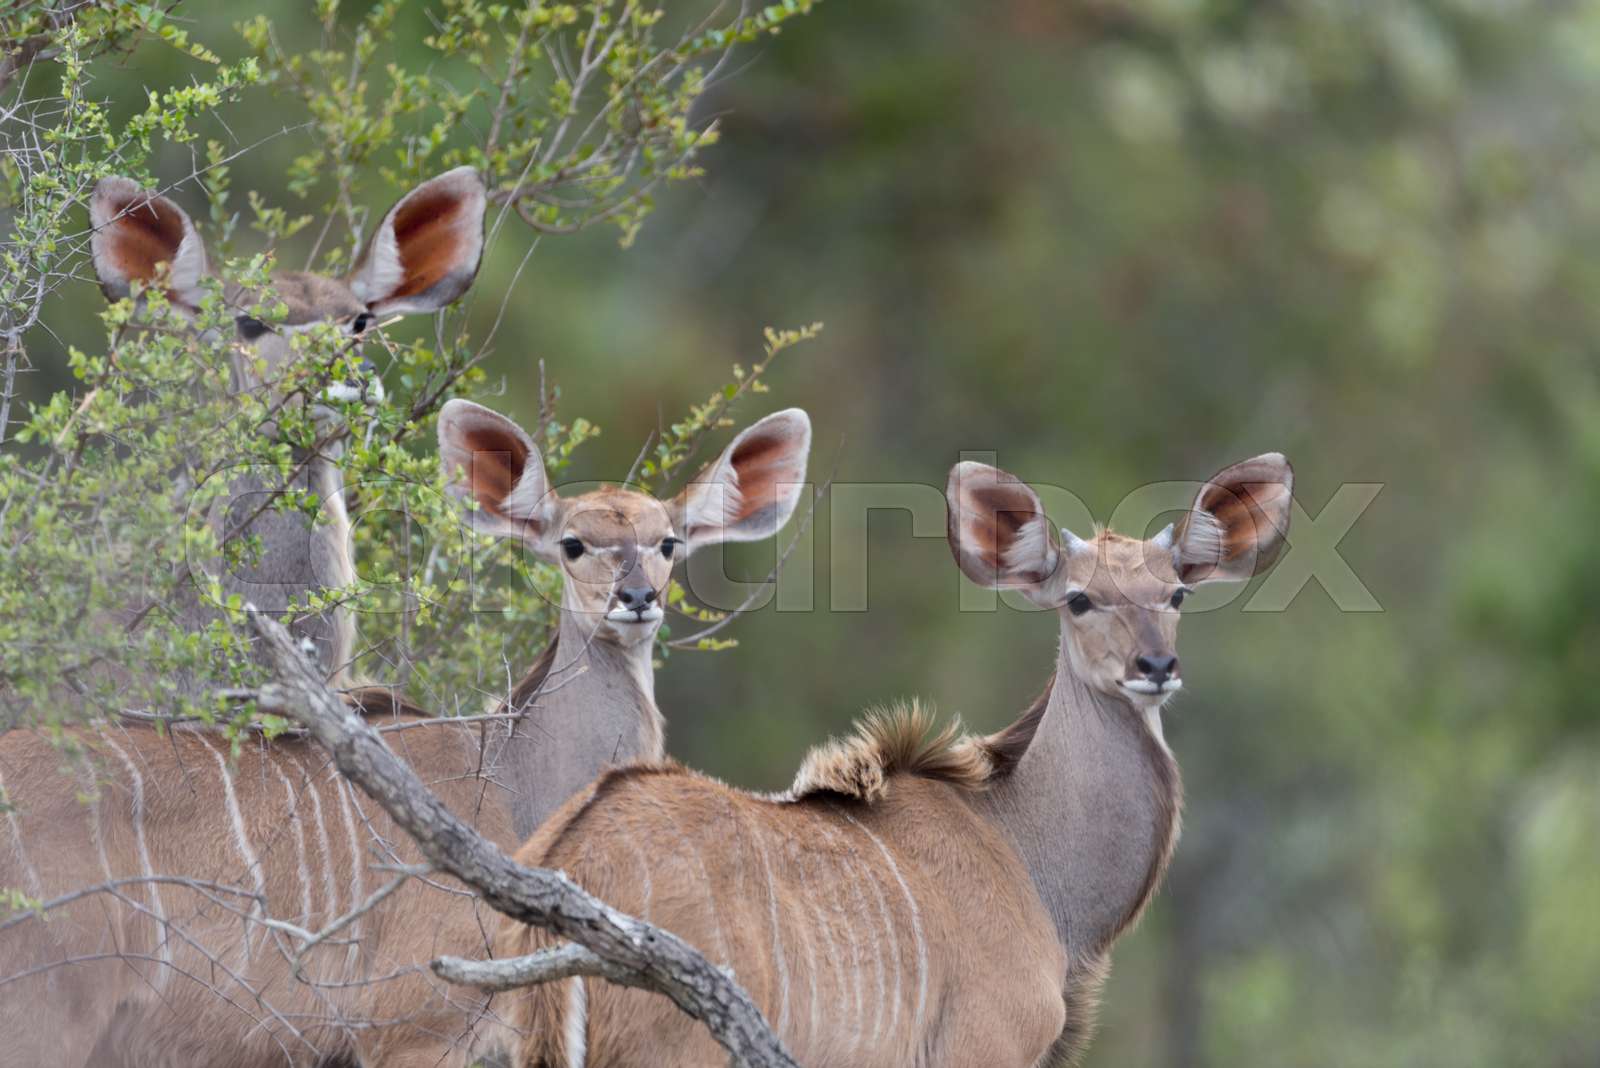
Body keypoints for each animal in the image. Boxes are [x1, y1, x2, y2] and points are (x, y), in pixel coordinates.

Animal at [492, 452, 1293, 1068]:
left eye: (1177, 593)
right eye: (1080, 599)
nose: (1154, 666)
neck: (1020, 844)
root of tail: (574, 863)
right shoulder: (983, 1049)